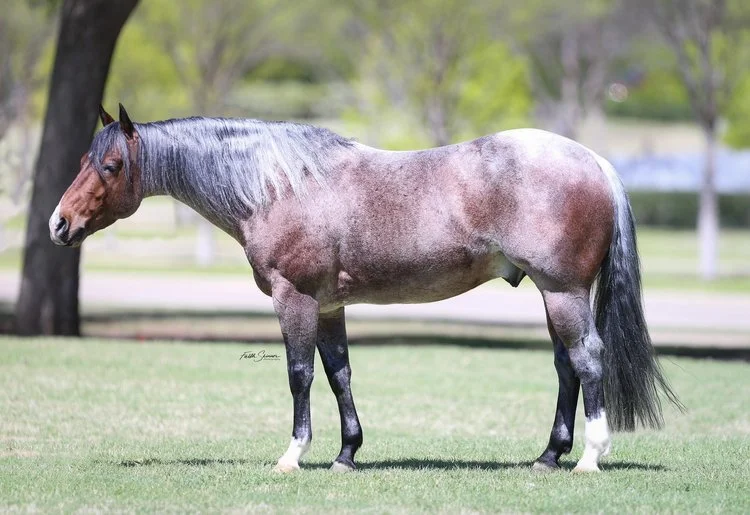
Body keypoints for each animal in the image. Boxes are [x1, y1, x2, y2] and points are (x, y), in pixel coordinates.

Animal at [50, 104, 681, 474]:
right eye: (84, 158)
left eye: (110, 165)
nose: (59, 224)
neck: (278, 186)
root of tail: (593, 160)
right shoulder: (330, 306)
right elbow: (339, 375)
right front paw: (346, 454)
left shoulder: (296, 300)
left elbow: (300, 375)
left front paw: (293, 456)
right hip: (553, 297)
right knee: (567, 368)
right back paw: (548, 456)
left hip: (564, 292)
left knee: (588, 359)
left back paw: (589, 459)